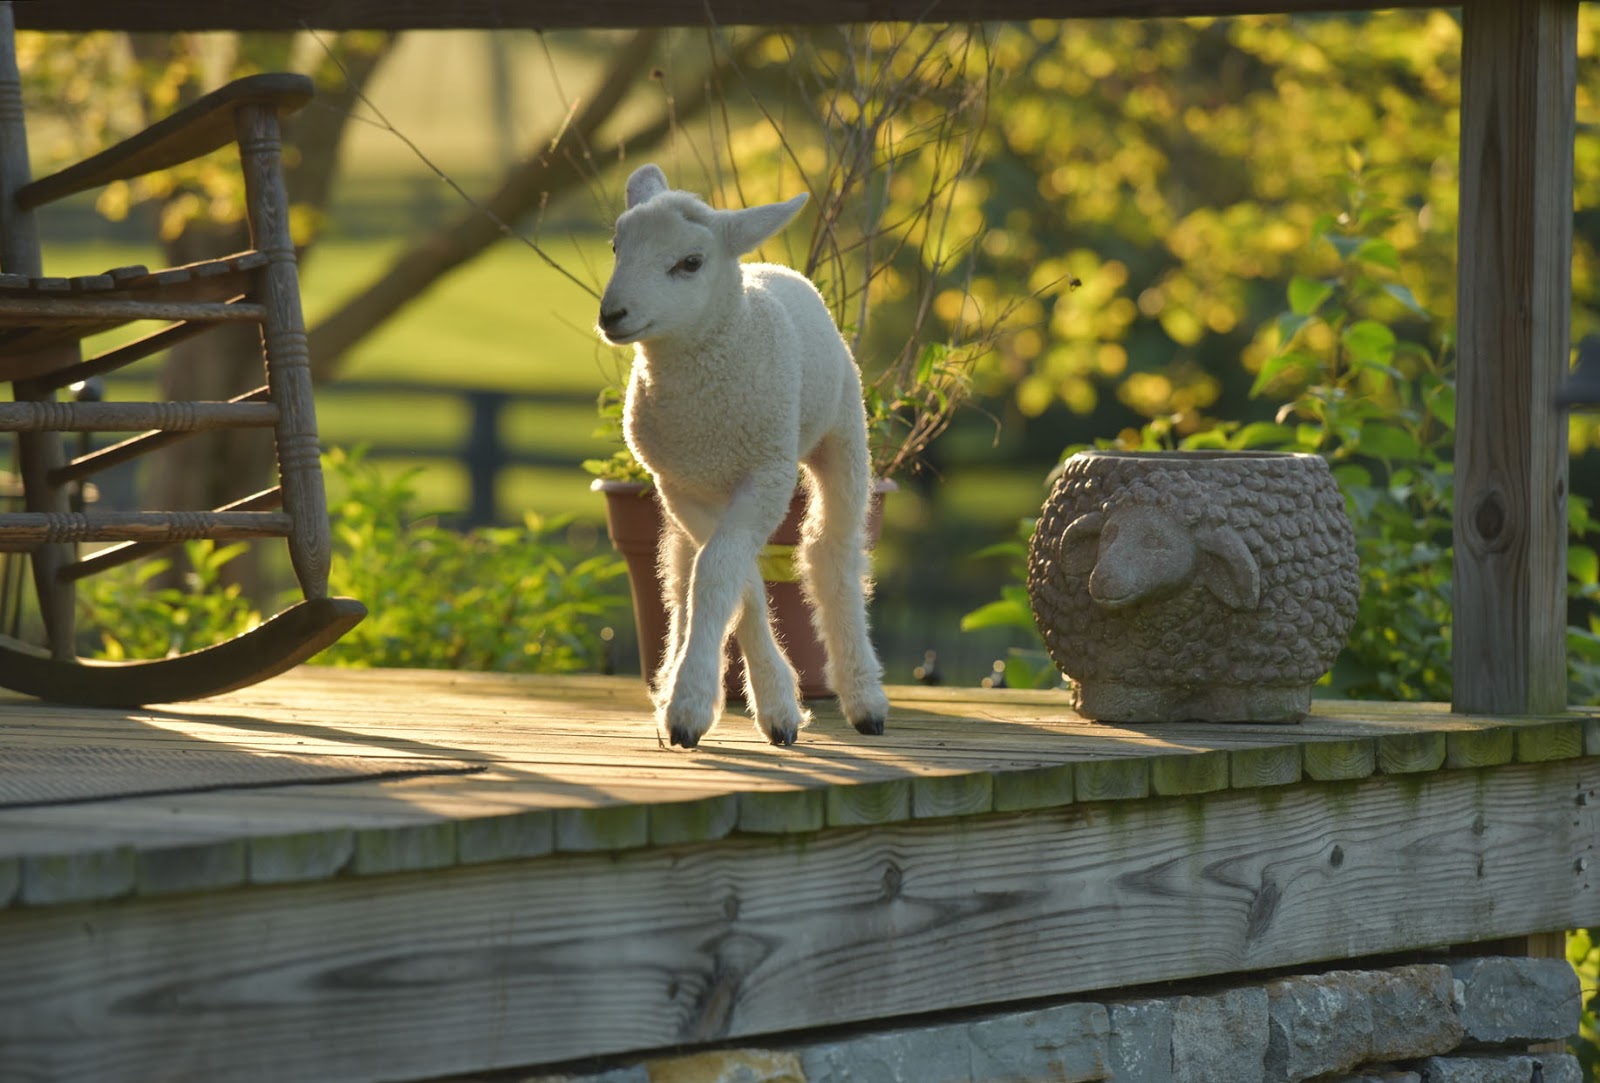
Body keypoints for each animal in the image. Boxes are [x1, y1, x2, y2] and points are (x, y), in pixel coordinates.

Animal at [597, 164, 890, 749]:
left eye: (690, 263)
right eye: (617, 246)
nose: (611, 314)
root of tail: (767, 264)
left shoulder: (766, 473)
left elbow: (720, 572)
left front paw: (692, 706)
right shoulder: (678, 485)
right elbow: (730, 578)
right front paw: (762, 701)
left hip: (844, 434)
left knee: (831, 554)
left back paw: (863, 698)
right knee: (679, 568)